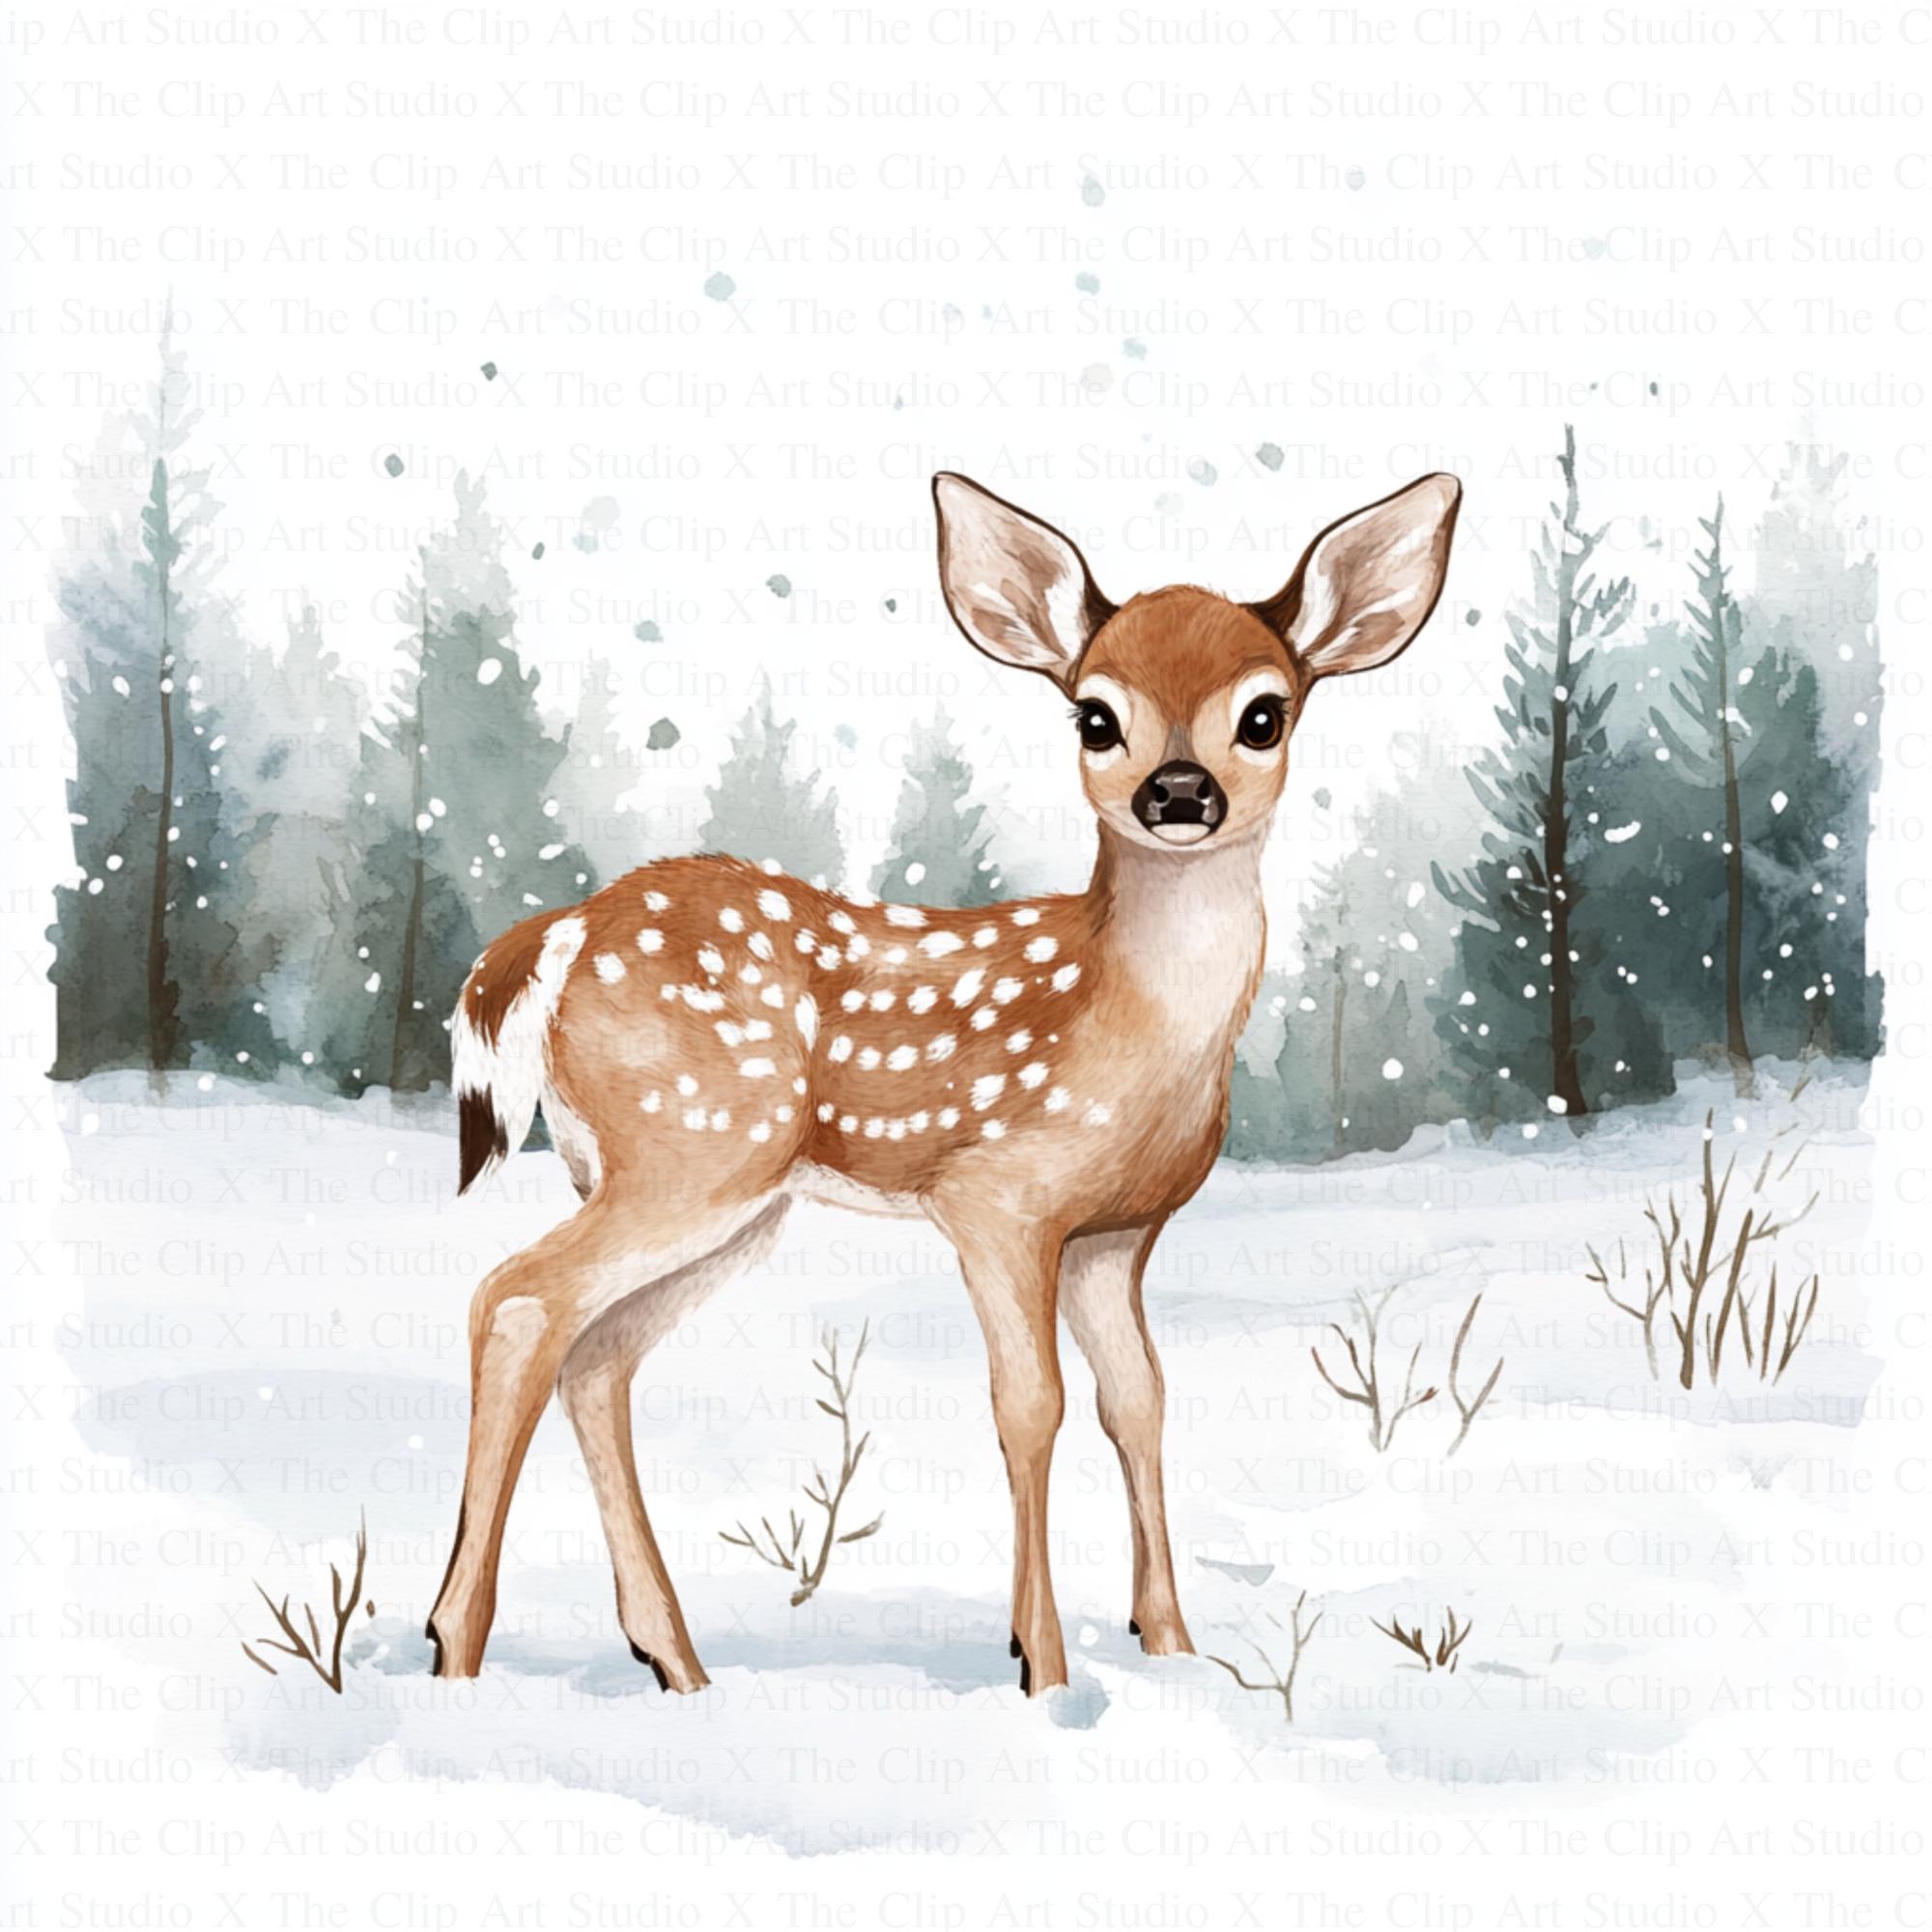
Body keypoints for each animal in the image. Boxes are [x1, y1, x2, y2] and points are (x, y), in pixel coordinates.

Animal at [427, 469, 1462, 1697]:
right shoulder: (995, 1197)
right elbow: (1030, 1406)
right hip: (691, 1145)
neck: (1131, 1020)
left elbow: (1139, 1402)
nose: (1177, 790)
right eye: (1093, 714)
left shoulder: (1118, 1231)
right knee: (517, 1299)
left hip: (710, 1191)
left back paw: (670, 1657)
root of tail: (558, 932)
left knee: (594, 1354)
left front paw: (1170, 1646)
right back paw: (453, 1645)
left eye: (1265, 711)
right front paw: (1042, 1666)